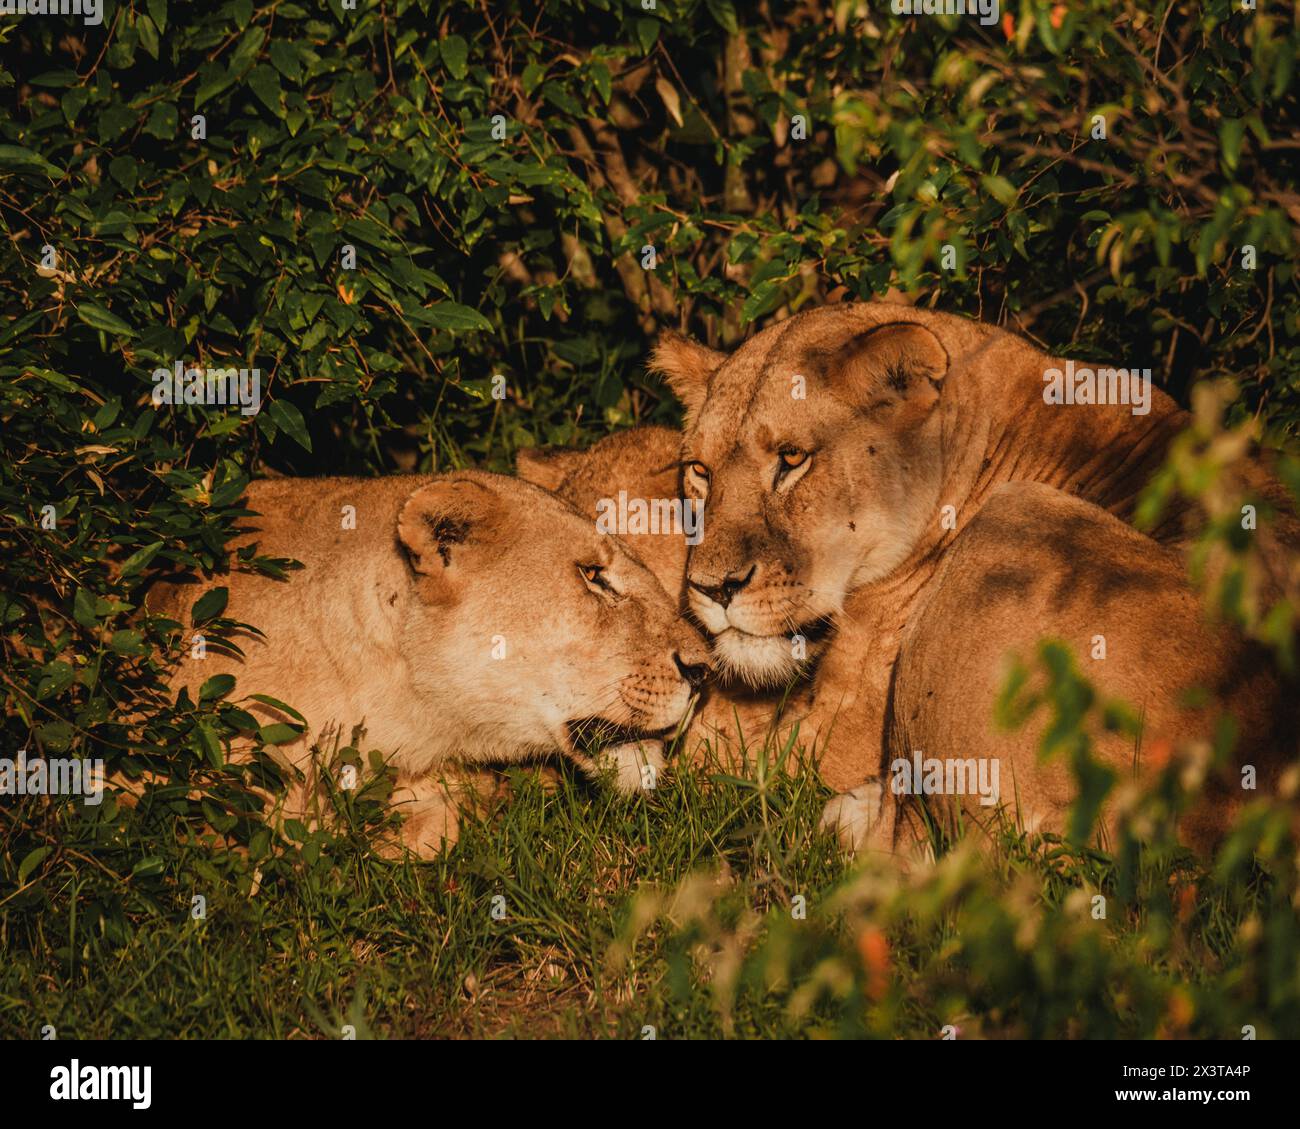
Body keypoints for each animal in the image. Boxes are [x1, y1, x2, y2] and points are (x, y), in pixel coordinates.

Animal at [647, 301, 1298, 856]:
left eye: (791, 458)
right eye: (699, 471)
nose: (711, 589)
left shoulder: (836, 736)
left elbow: (708, 768)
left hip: (1021, 516)